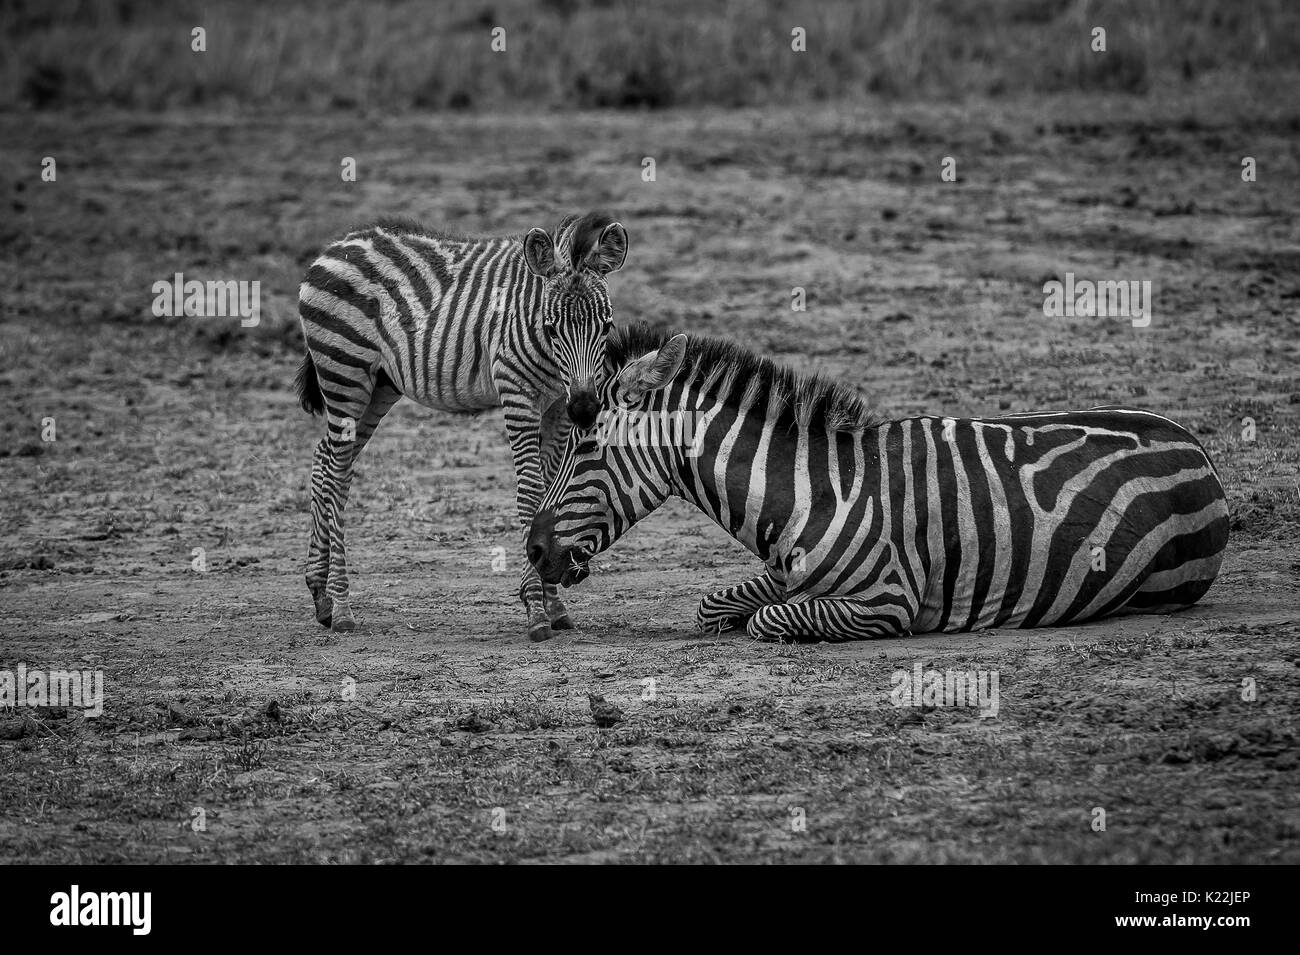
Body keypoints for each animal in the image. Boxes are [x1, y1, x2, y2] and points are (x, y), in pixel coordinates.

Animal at [293, 212, 628, 640]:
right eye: (552, 327)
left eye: (606, 326)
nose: (586, 409)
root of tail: (337, 245)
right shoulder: (517, 395)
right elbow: (531, 493)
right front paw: (536, 610)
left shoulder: (557, 405)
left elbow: (551, 489)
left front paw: (555, 605)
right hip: (344, 372)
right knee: (335, 473)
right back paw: (341, 607)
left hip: (380, 384)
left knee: (326, 462)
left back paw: (320, 596)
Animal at [526, 325, 1229, 641]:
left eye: (587, 446)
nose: (533, 550)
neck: (810, 490)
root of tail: (1190, 438)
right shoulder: (784, 573)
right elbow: (713, 606)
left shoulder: (887, 599)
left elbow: (768, 621)